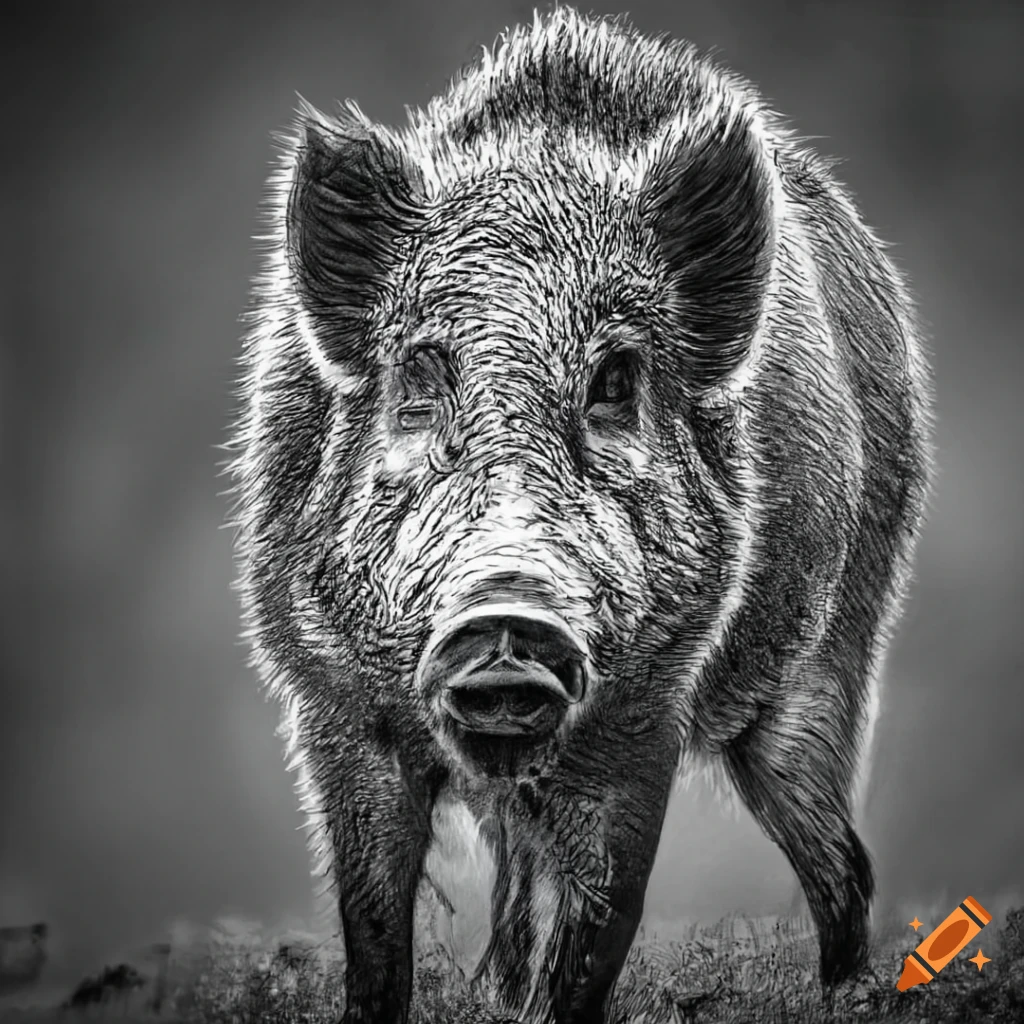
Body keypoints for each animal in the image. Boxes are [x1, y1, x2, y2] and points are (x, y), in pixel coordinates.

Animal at [228, 7, 933, 1023]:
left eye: (616, 381)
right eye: (417, 378)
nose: (506, 613)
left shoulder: (649, 705)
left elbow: (603, 916)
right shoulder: (329, 698)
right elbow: (372, 918)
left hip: (834, 646)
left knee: (838, 853)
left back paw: (852, 994)